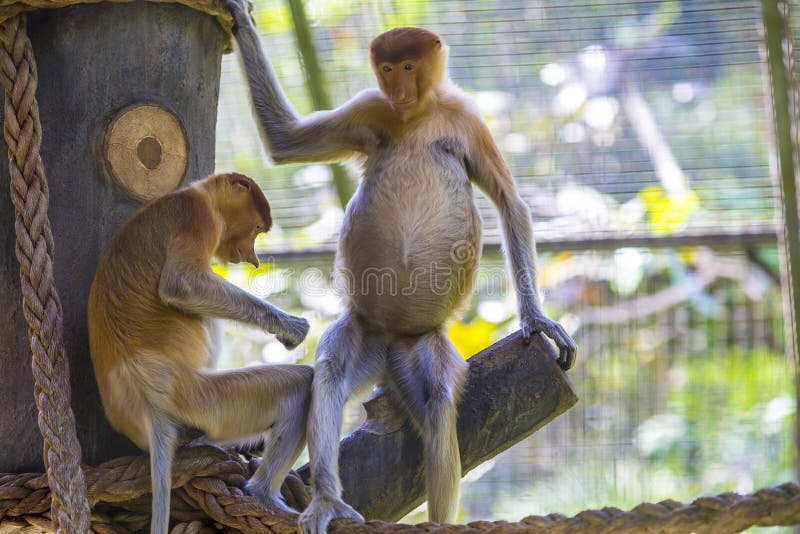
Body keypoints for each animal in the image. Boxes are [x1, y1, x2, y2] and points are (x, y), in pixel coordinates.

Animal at [87, 172, 313, 534]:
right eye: (256, 230)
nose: (252, 259)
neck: (200, 194)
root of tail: (148, 403)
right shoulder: (196, 217)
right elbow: (182, 285)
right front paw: (290, 327)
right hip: (201, 398)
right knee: (299, 386)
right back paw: (262, 496)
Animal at [225, 5, 578, 533]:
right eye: (387, 69)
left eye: (409, 66)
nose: (399, 89)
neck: (417, 114)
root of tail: (391, 341)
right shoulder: (373, 106)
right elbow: (287, 142)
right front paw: (240, 19)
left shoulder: (466, 118)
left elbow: (510, 203)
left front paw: (537, 322)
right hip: (362, 330)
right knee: (330, 373)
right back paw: (324, 498)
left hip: (423, 343)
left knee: (437, 402)